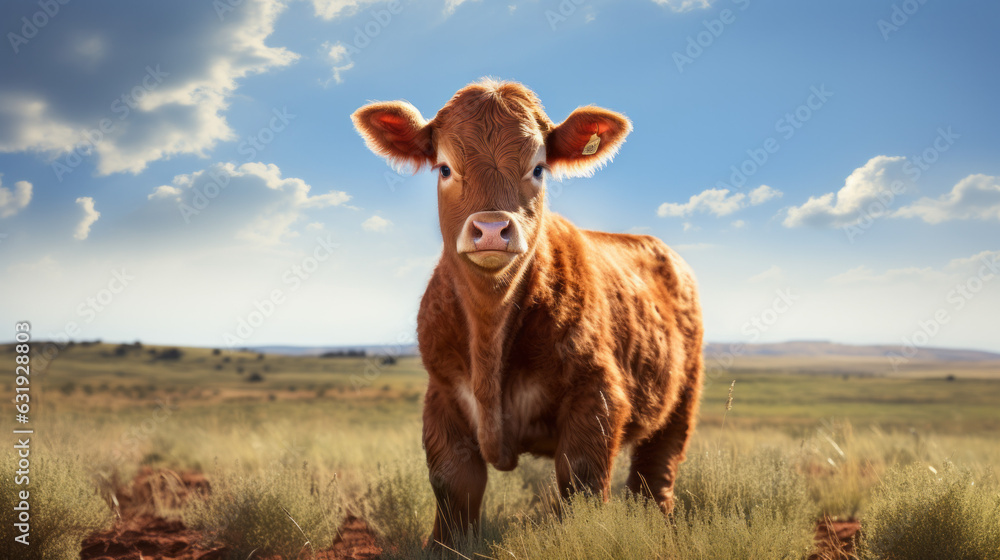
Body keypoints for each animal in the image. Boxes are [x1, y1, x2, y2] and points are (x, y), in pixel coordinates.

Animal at [352, 79, 704, 547]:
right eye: (444, 168)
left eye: (538, 169)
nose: (491, 230)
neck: (489, 334)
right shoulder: (441, 394)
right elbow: (453, 486)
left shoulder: (597, 395)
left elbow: (582, 484)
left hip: (682, 401)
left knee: (654, 476)